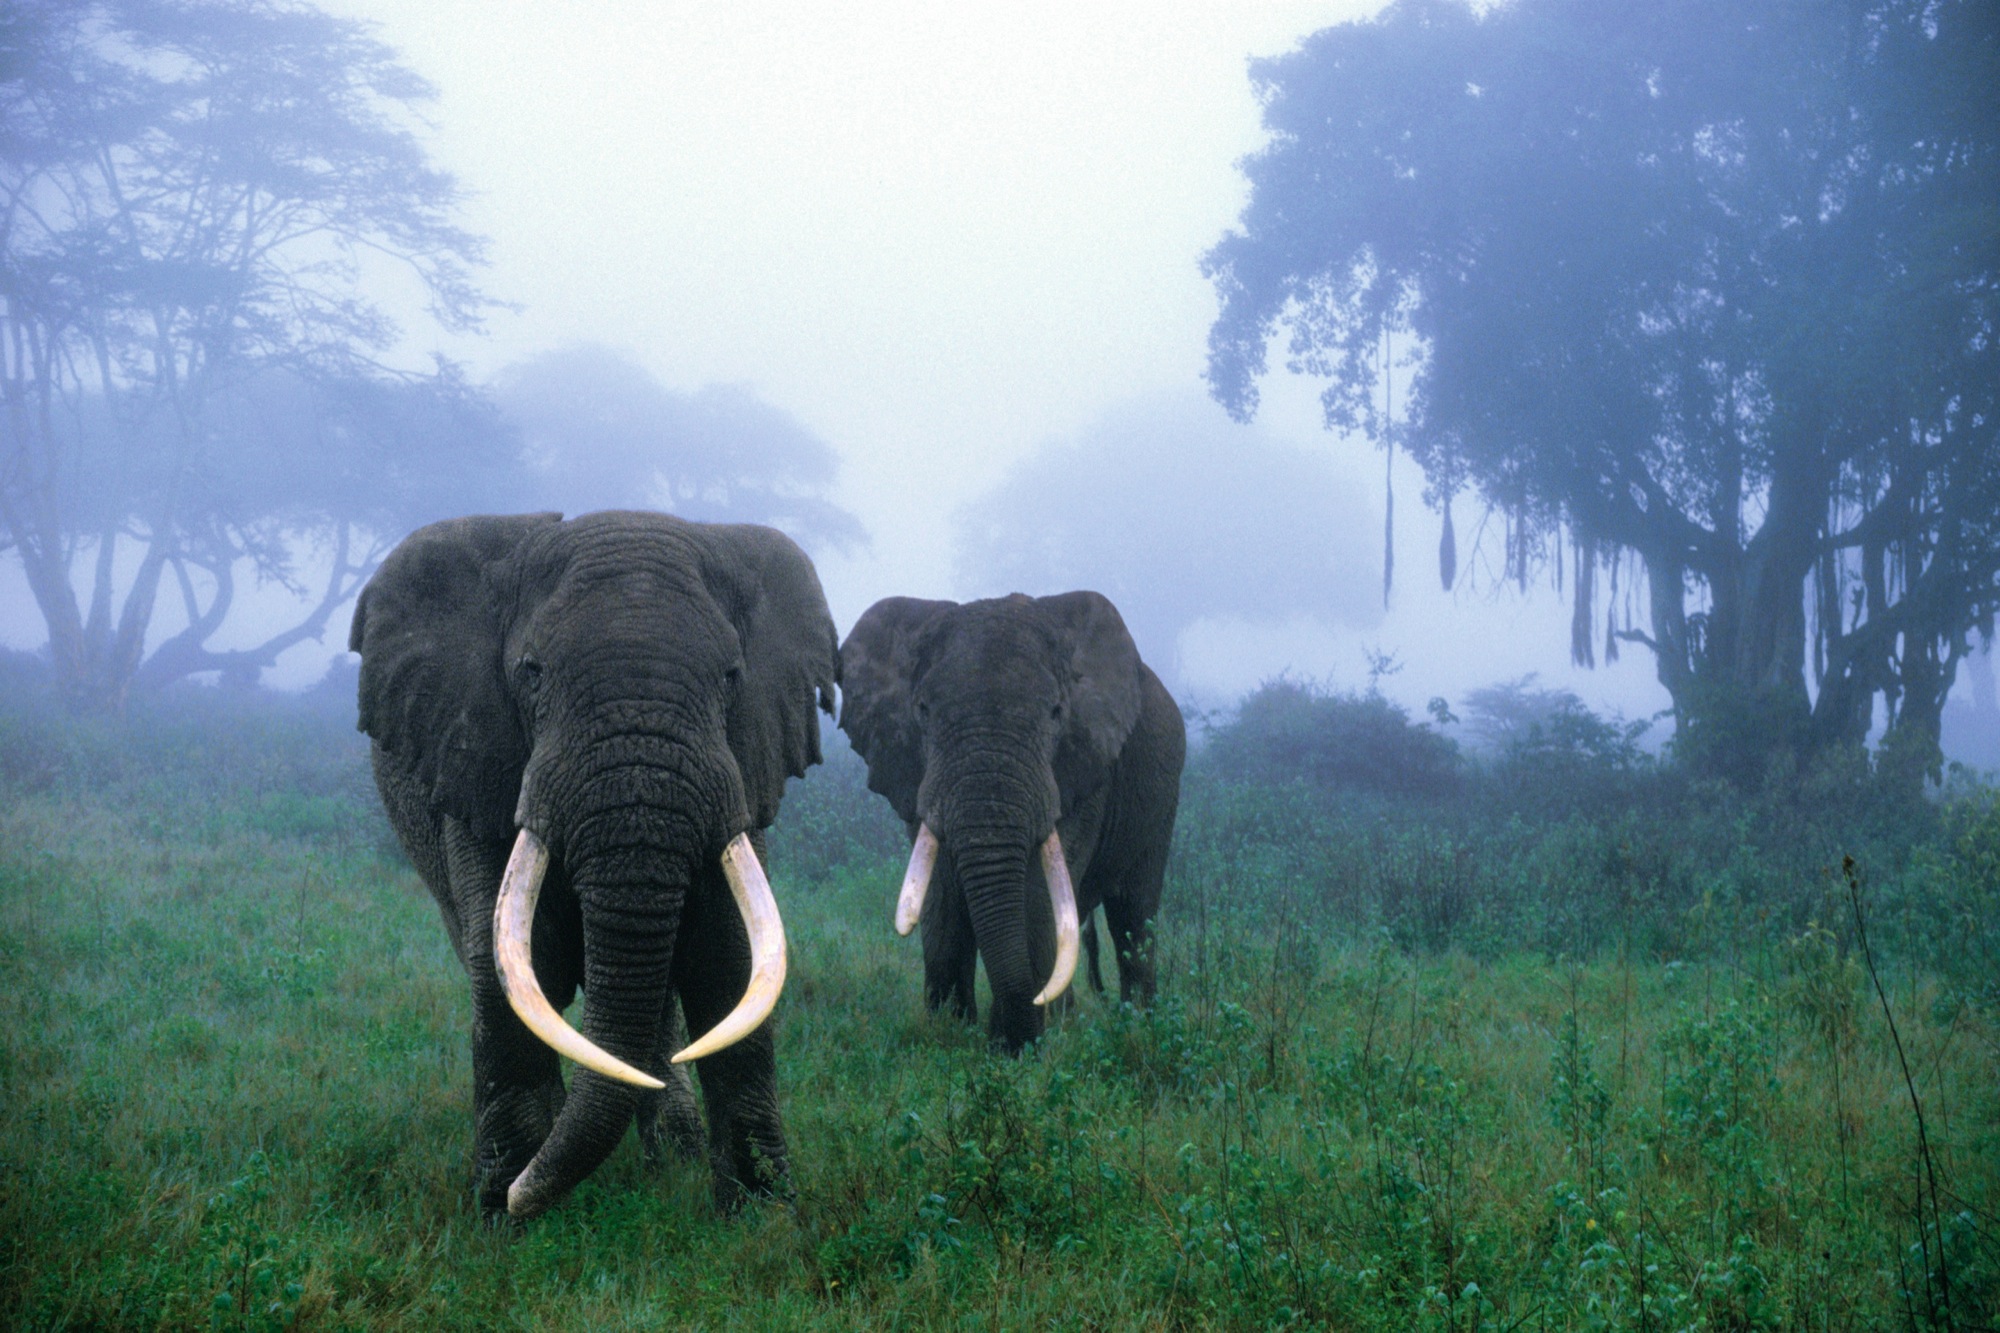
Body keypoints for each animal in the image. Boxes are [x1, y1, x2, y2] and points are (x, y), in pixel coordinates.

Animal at [348, 509, 837, 1220]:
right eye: (531, 672)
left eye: (731, 676)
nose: (518, 1198)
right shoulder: (479, 766)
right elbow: (510, 967)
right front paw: (504, 1214)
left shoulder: (745, 770)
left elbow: (731, 963)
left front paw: (764, 1215)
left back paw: (672, 1155)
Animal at [838, 591, 1185, 1053]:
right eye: (923, 710)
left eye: (1056, 712)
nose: (1014, 1040)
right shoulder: (916, 773)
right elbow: (941, 894)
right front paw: (949, 1037)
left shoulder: (1083, 767)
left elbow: (1037, 896)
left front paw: (1016, 1051)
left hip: (1161, 796)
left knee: (1133, 915)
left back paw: (1137, 1026)